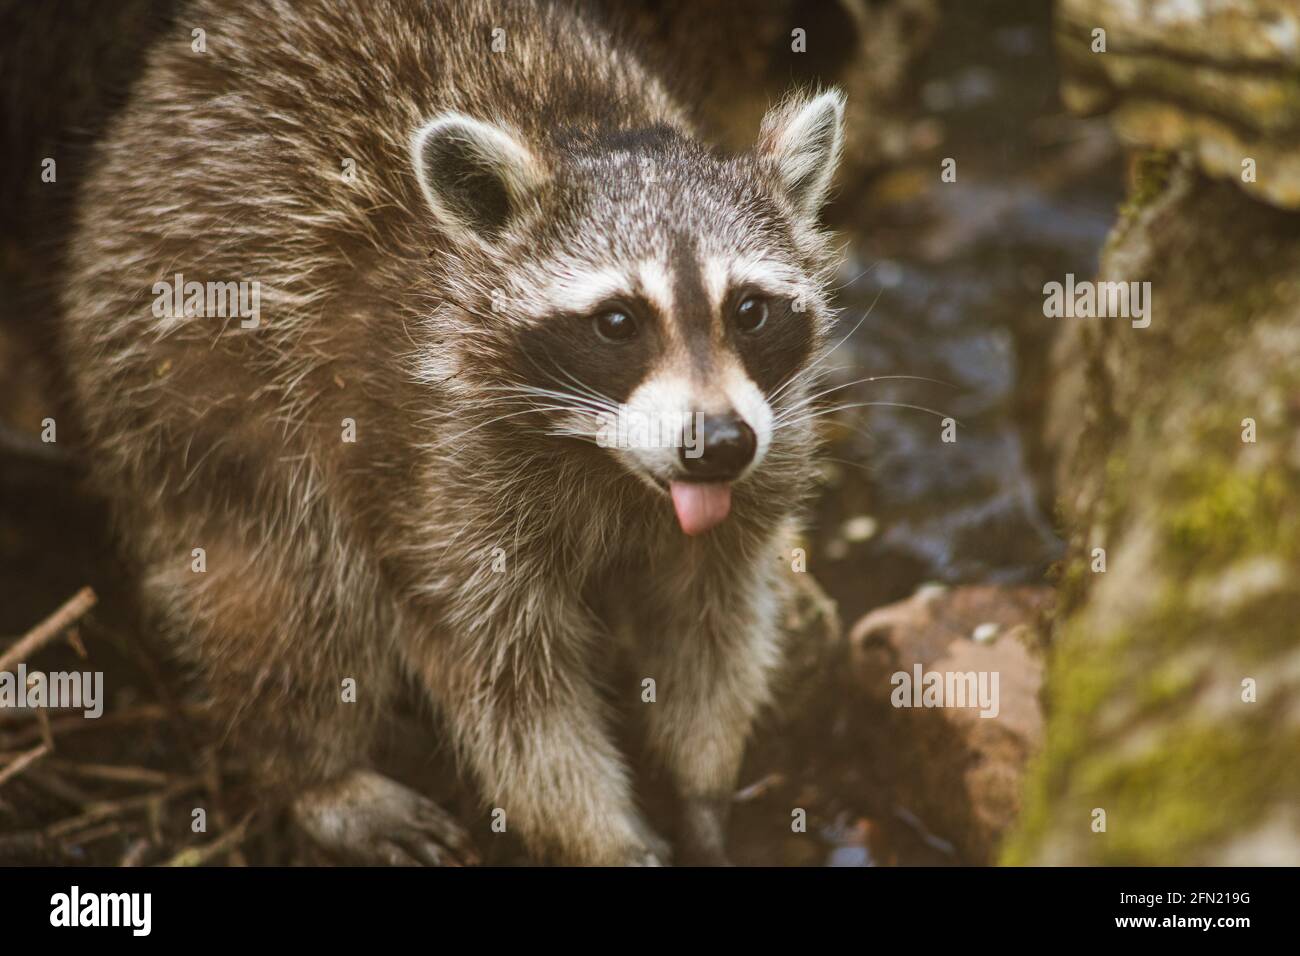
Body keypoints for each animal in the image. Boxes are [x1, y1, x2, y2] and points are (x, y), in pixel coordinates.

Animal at [59, 0, 844, 865]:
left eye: (750, 310)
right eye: (617, 322)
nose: (721, 444)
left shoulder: (769, 450)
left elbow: (711, 625)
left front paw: (702, 787)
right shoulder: (437, 463)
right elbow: (508, 691)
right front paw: (602, 836)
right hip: (181, 370)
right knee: (290, 581)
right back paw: (313, 772)